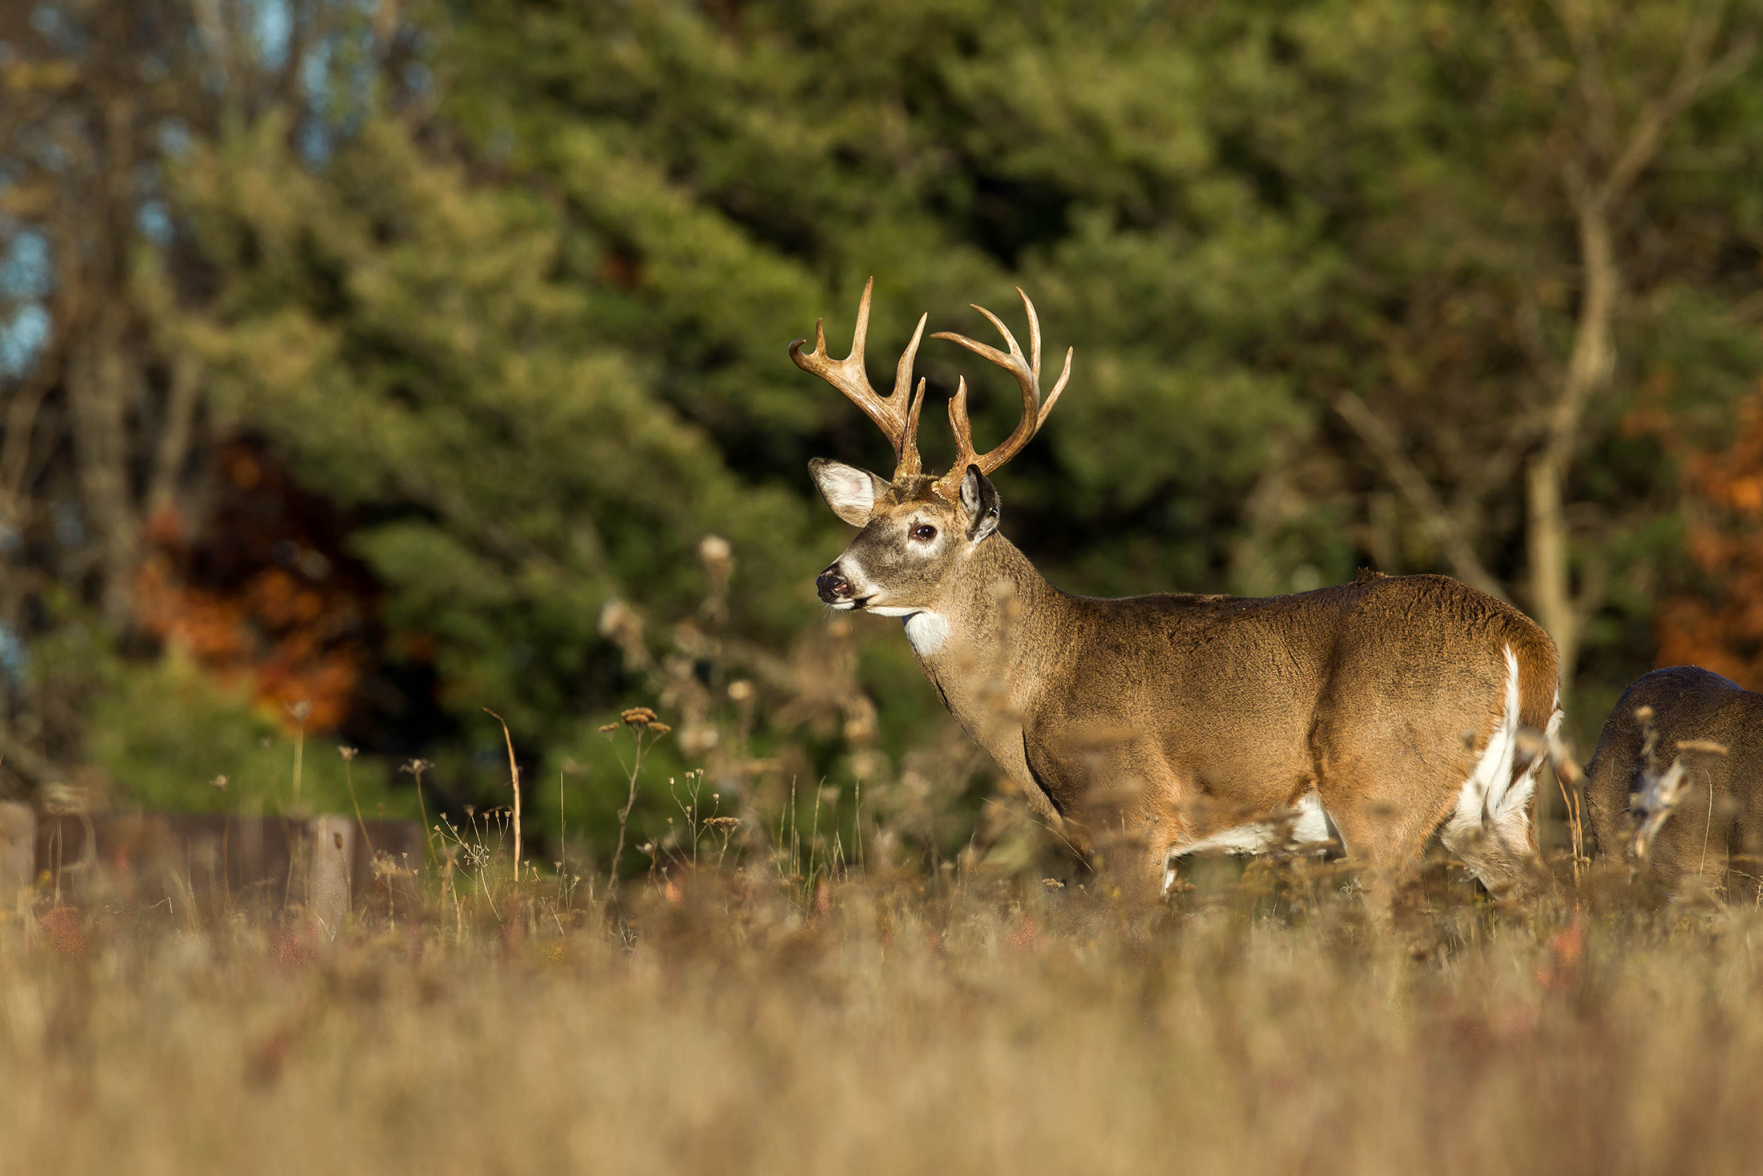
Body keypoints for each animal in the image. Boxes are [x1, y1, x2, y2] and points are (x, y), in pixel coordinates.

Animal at [794, 279, 1562, 905]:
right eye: (866, 521)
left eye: (923, 528)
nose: (831, 580)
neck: (1040, 678)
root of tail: (1518, 637)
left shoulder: (1130, 814)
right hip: (1496, 809)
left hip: (1381, 786)